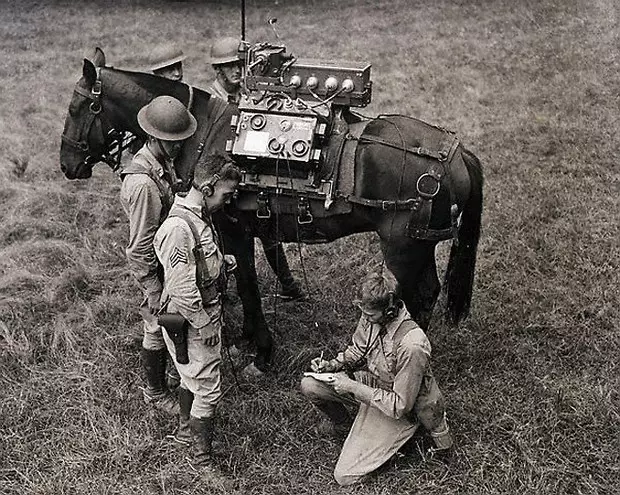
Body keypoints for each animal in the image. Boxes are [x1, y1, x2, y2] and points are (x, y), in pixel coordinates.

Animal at [59, 48, 484, 374]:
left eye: (78, 107)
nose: (67, 164)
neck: (204, 133)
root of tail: (454, 151)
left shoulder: (234, 229)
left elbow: (248, 285)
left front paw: (262, 349)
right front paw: (250, 337)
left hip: (401, 247)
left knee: (414, 296)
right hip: (419, 245)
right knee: (428, 292)